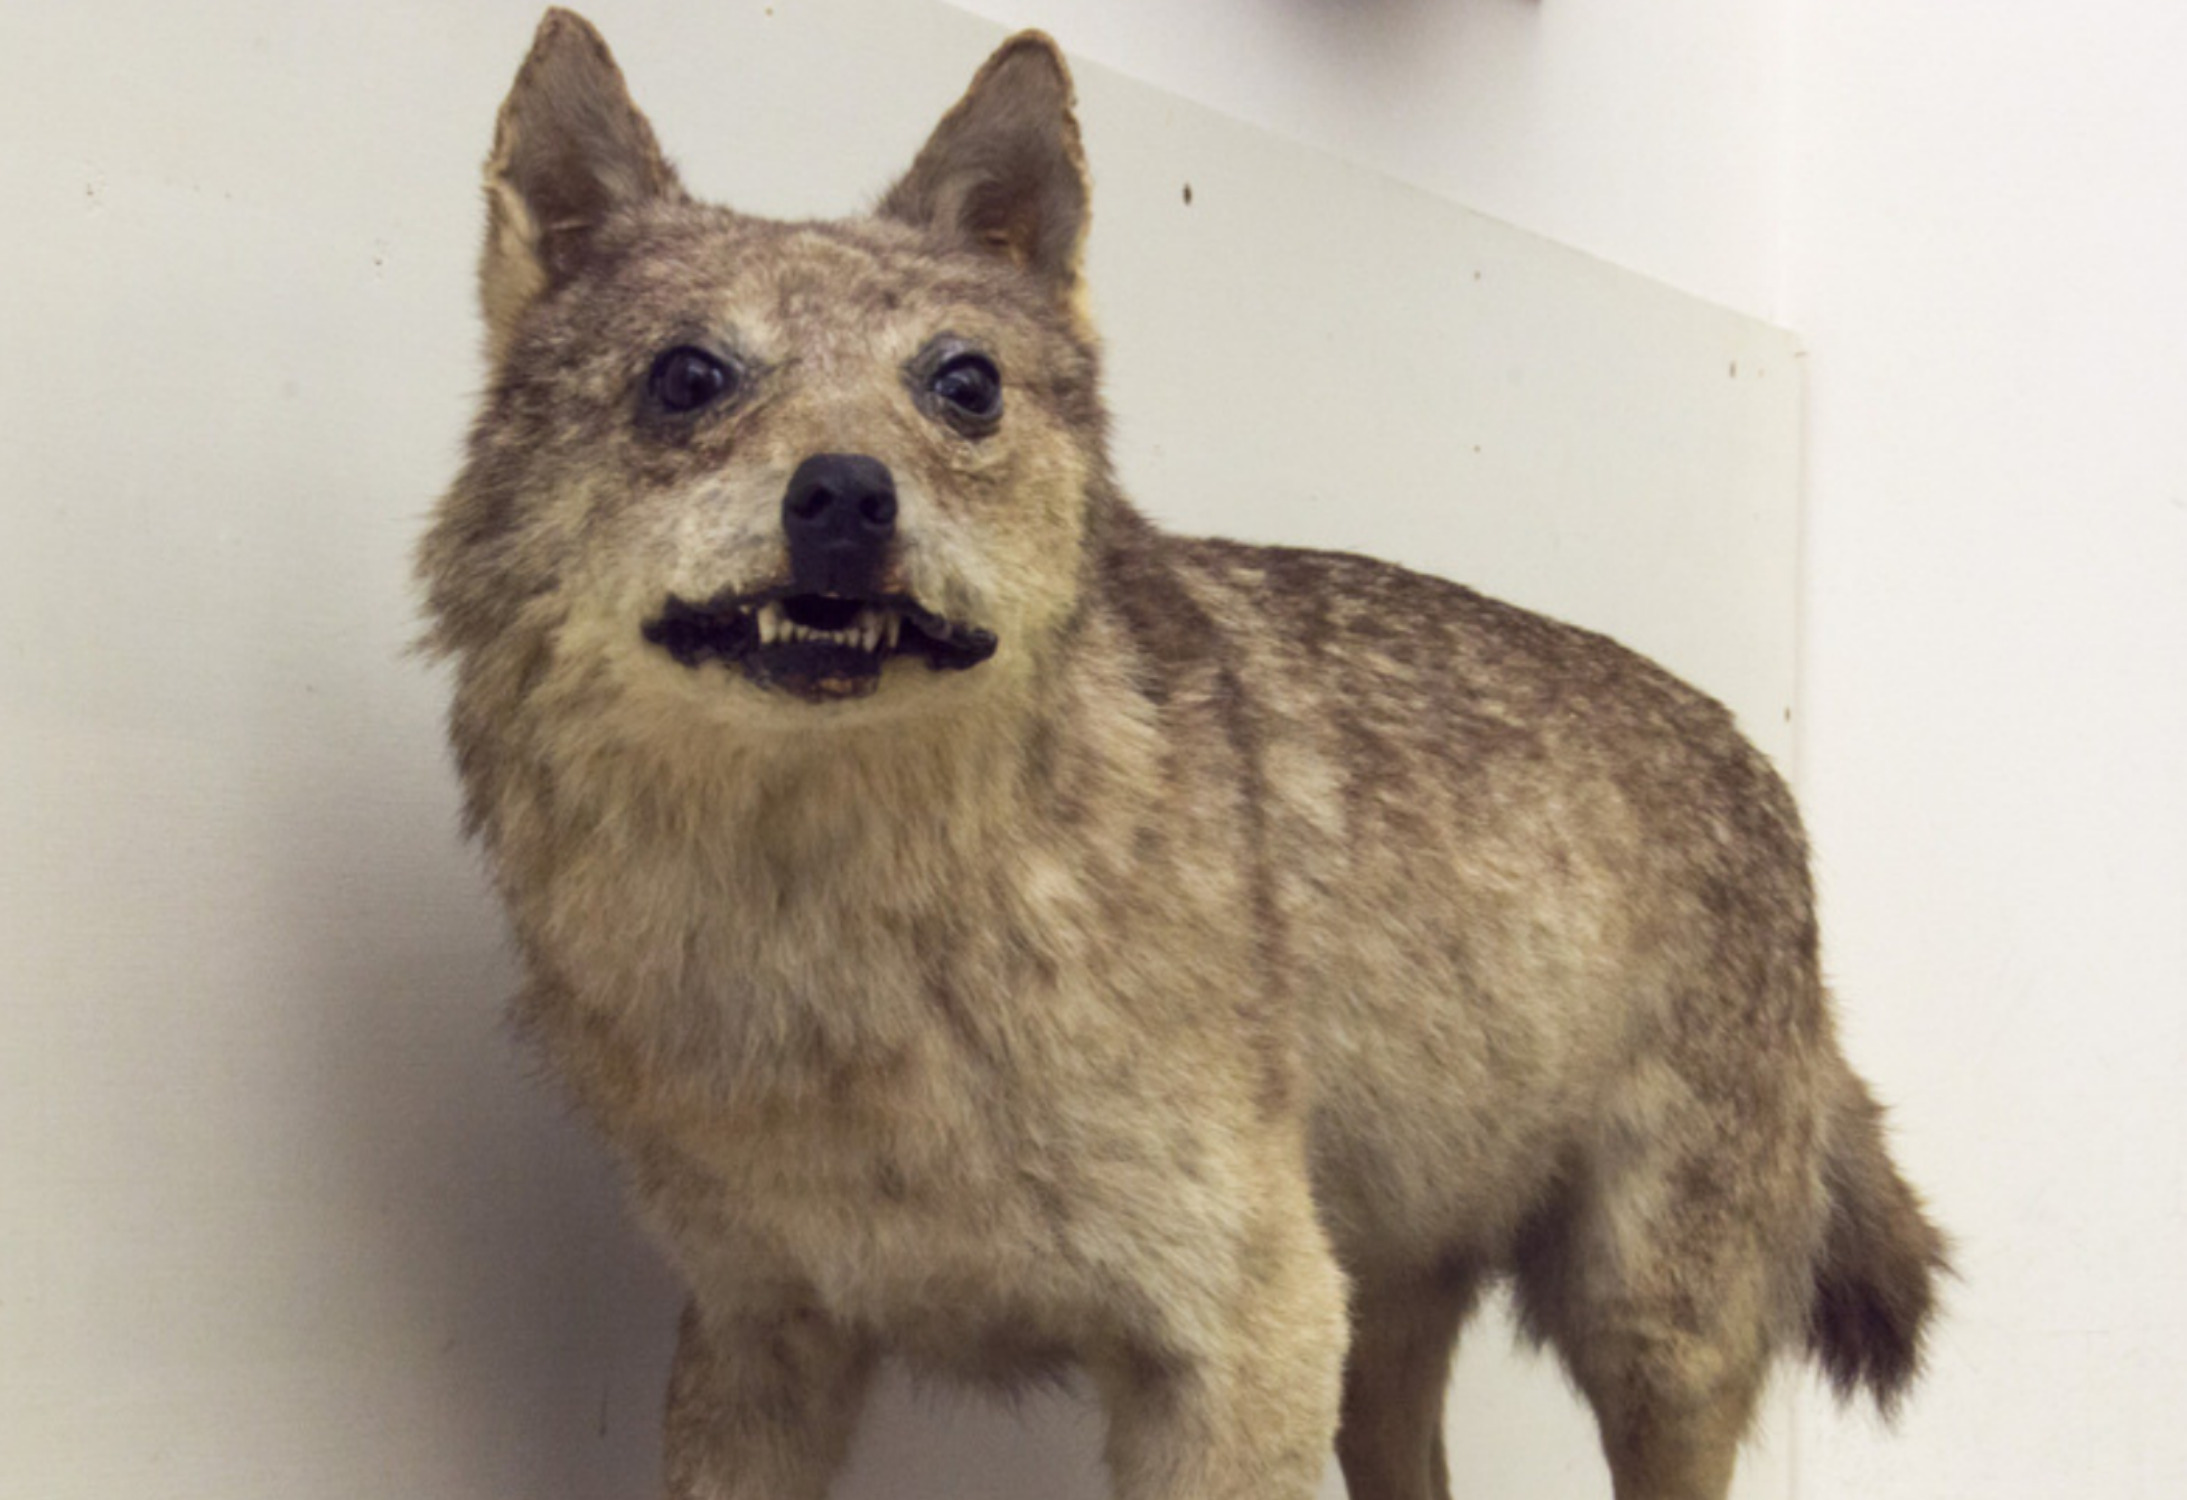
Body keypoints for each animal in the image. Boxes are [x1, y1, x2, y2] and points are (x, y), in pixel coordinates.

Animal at [418, 11, 1944, 1499]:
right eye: (689, 378)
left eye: (962, 386)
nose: (846, 495)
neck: (827, 943)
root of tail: (1752, 761)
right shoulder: (758, 1333)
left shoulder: (1246, 1328)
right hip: (1389, 1330)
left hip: (1649, 1338)